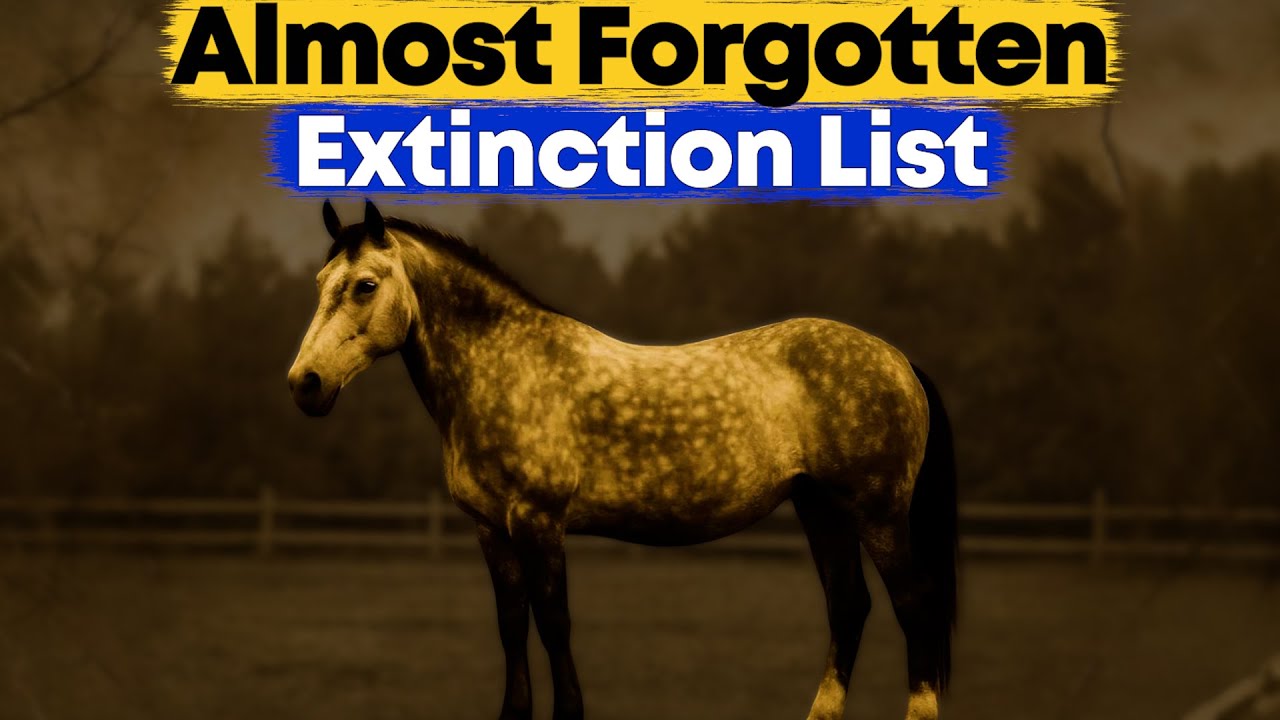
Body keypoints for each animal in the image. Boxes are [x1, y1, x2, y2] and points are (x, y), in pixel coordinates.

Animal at [287, 200, 959, 720]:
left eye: (365, 285)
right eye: (321, 282)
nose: (306, 384)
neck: (506, 368)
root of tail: (898, 361)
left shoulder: (538, 522)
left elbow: (553, 623)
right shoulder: (491, 530)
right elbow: (512, 626)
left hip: (877, 512)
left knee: (913, 604)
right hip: (822, 509)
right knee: (849, 606)